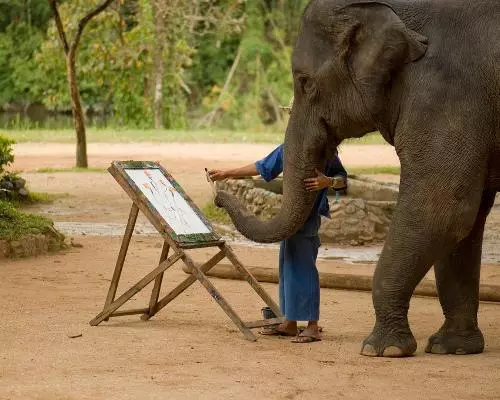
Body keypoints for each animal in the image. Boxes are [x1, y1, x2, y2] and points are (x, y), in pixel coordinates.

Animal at [215, 0, 500, 358]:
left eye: (305, 82)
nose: (216, 195)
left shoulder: (448, 95)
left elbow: (442, 209)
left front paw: (382, 350)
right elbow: (467, 220)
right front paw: (452, 347)